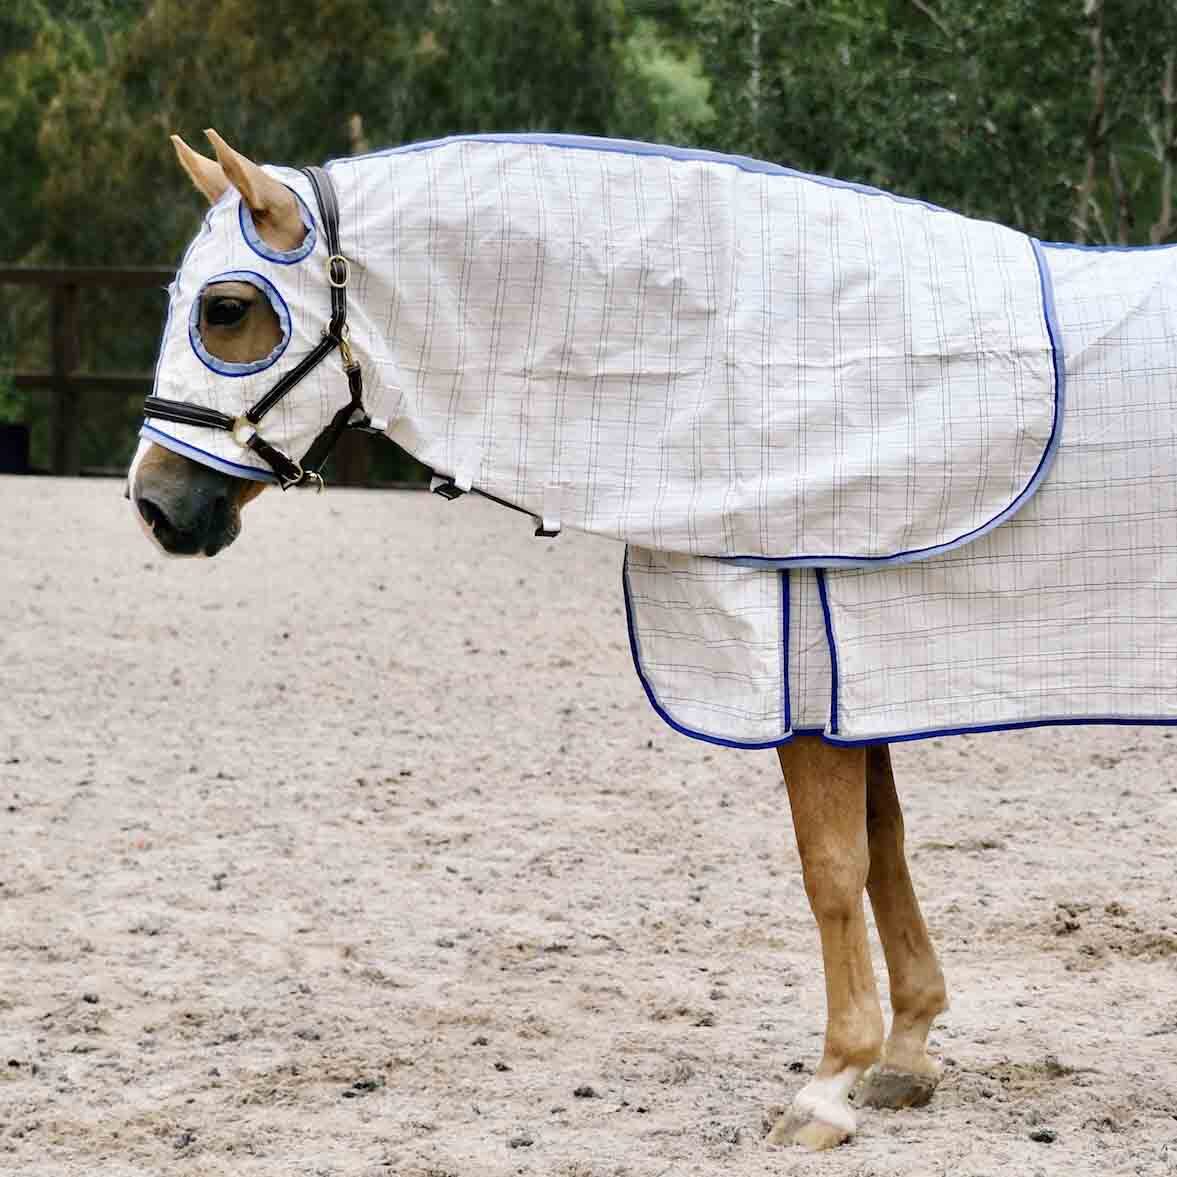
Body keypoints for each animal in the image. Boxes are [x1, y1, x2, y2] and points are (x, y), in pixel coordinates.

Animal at [128, 127, 1177, 1151]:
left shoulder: (796, 659)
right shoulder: (843, 675)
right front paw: (906, 1053)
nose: (155, 507)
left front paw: (829, 1085)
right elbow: (884, 850)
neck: (741, 349)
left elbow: (832, 867)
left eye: (226, 309)